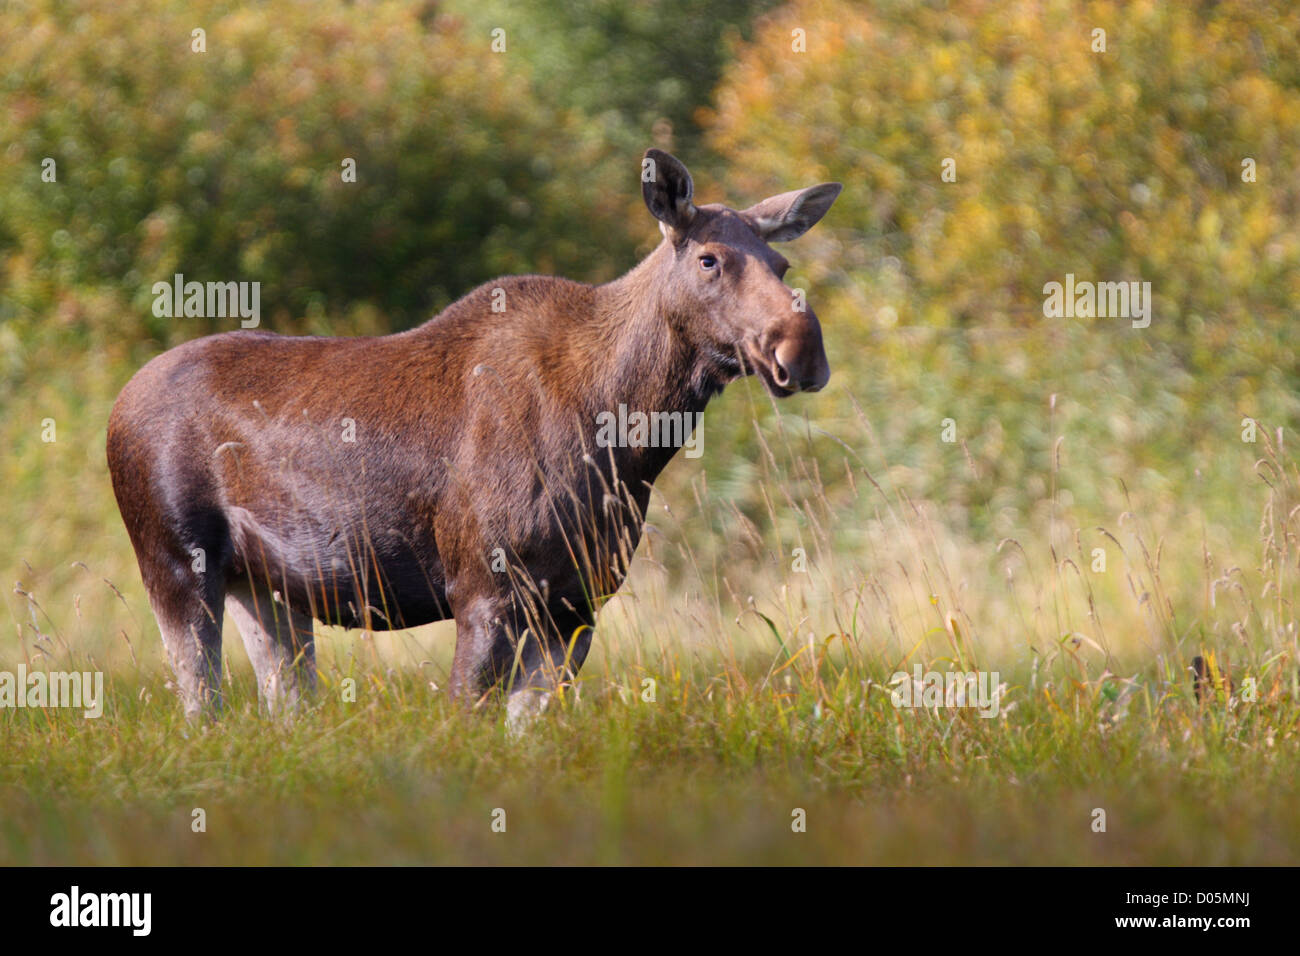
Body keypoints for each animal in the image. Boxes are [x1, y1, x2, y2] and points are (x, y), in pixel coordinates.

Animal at [106, 149, 842, 730]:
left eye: (780, 261)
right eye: (710, 259)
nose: (800, 349)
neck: (628, 440)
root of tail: (116, 406)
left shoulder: (574, 605)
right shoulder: (485, 590)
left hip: (265, 587)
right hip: (174, 560)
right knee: (201, 705)